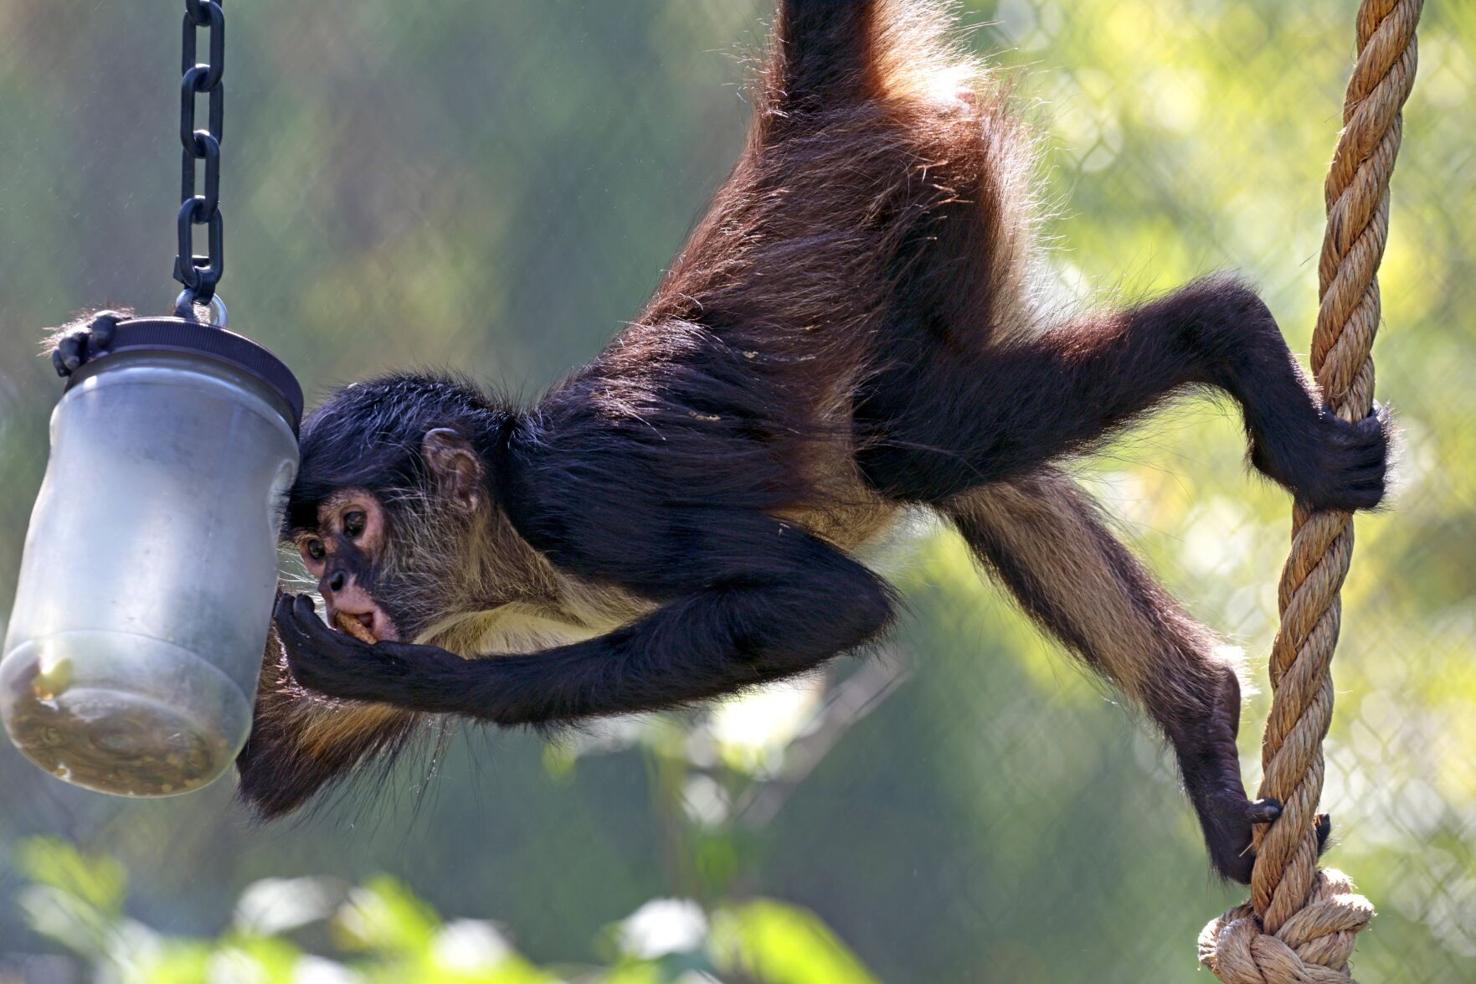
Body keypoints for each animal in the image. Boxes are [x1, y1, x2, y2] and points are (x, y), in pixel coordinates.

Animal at [52, 0, 1383, 879]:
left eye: (350, 526)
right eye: (311, 543)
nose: (330, 582)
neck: (514, 531)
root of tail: (797, 127)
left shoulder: (583, 499)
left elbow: (828, 600)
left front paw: (419, 684)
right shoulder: (474, 596)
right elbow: (266, 759)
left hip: (920, 193)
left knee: (911, 444)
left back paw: (1235, 339)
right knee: (962, 475)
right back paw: (1205, 725)